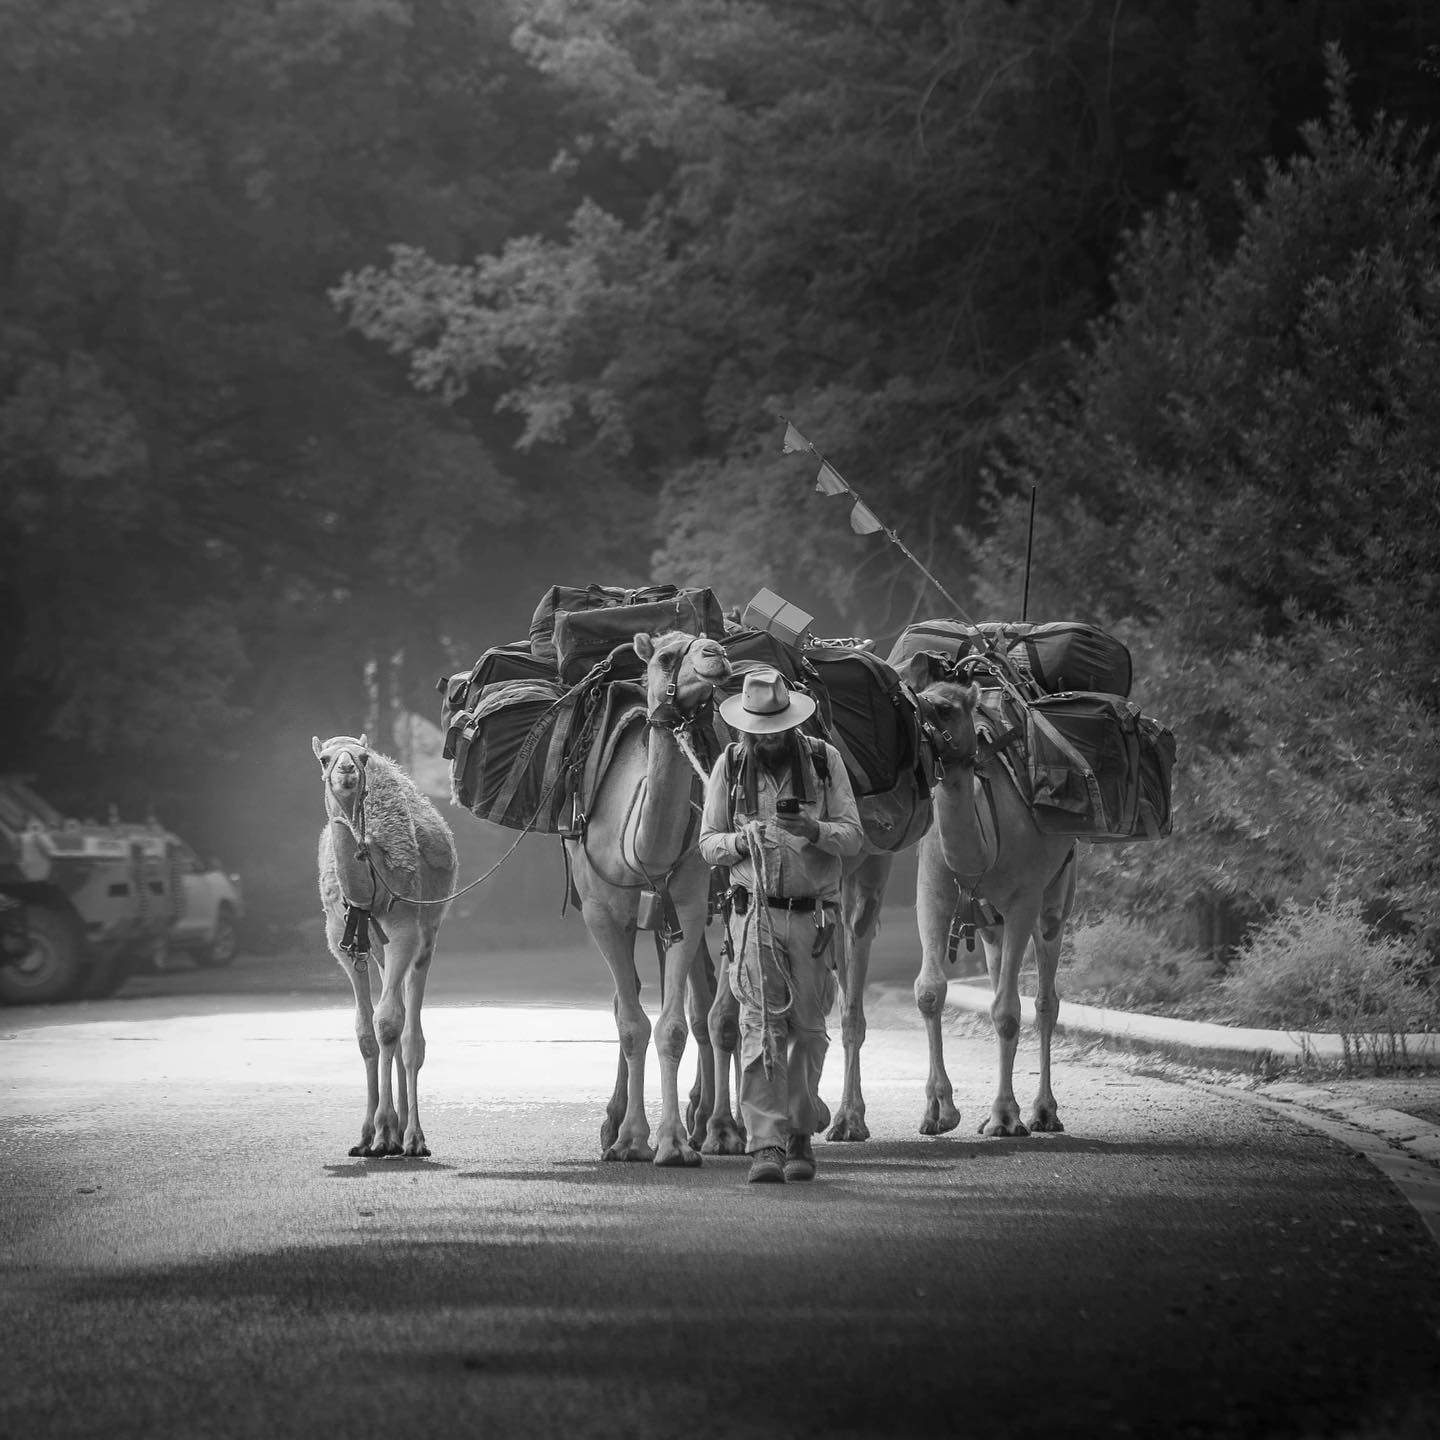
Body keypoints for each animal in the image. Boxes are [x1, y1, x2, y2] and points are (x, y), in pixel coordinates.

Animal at [314, 733, 458, 1158]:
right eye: (324, 758)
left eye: (362, 758)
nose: (346, 769)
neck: (368, 891)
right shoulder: (342, 942)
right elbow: (366, 1032)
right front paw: (367, 1137)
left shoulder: (404, 929)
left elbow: (389, 1023)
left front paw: (387, 1134)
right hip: (376, 949)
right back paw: (394, 1132)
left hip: (427, 934)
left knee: (410, 1033)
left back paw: (410, 1137)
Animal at [567, 629, 732, 1167]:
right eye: (664, 657)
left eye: (710, 641)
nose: (717, 655)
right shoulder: (600, 915)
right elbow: (632, 1023)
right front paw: (631, 1139)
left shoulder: (689, 906)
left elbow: (673, 1027)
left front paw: (675, 1142)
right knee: (637, 1001)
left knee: (714, 1010)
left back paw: (721, 1127)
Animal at [903, 663, 1079, 1137]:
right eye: (919, 696)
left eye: (945, 708)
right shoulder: (932, 890)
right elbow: (929, 991)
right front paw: (938, 1111)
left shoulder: (1023, 899)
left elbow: (1007, 1012)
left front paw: (1004, 1117)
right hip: (988, 922)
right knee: (1001, 970)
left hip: (1056, 895)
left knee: (1044, 1000)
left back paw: (1042, 1112)